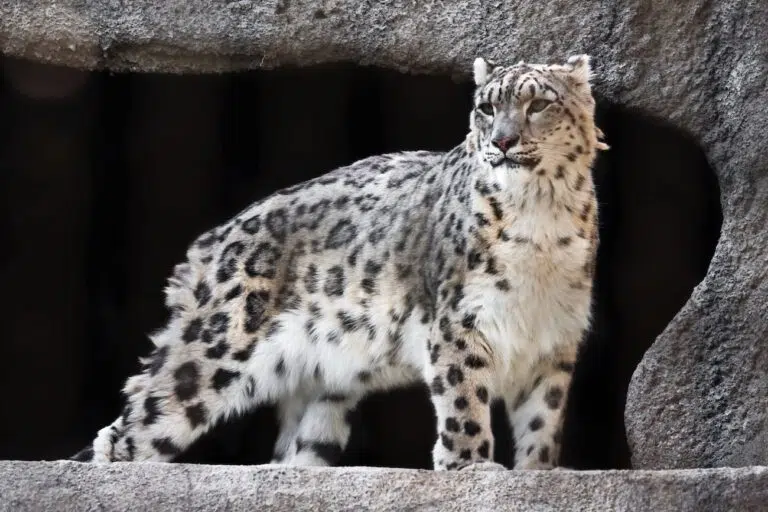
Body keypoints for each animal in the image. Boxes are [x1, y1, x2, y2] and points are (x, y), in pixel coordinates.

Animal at [70, 54, 608, 471]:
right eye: (486, 108)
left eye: (539, 104)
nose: (501, 141)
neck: (541, 223)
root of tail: (212, 240)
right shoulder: (459, 323)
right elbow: (464, 399)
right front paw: (471, 465)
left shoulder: (555, 336)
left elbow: (542, 416)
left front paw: (538, 471)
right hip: (219, 344)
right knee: (141, 416)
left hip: (327, 390)